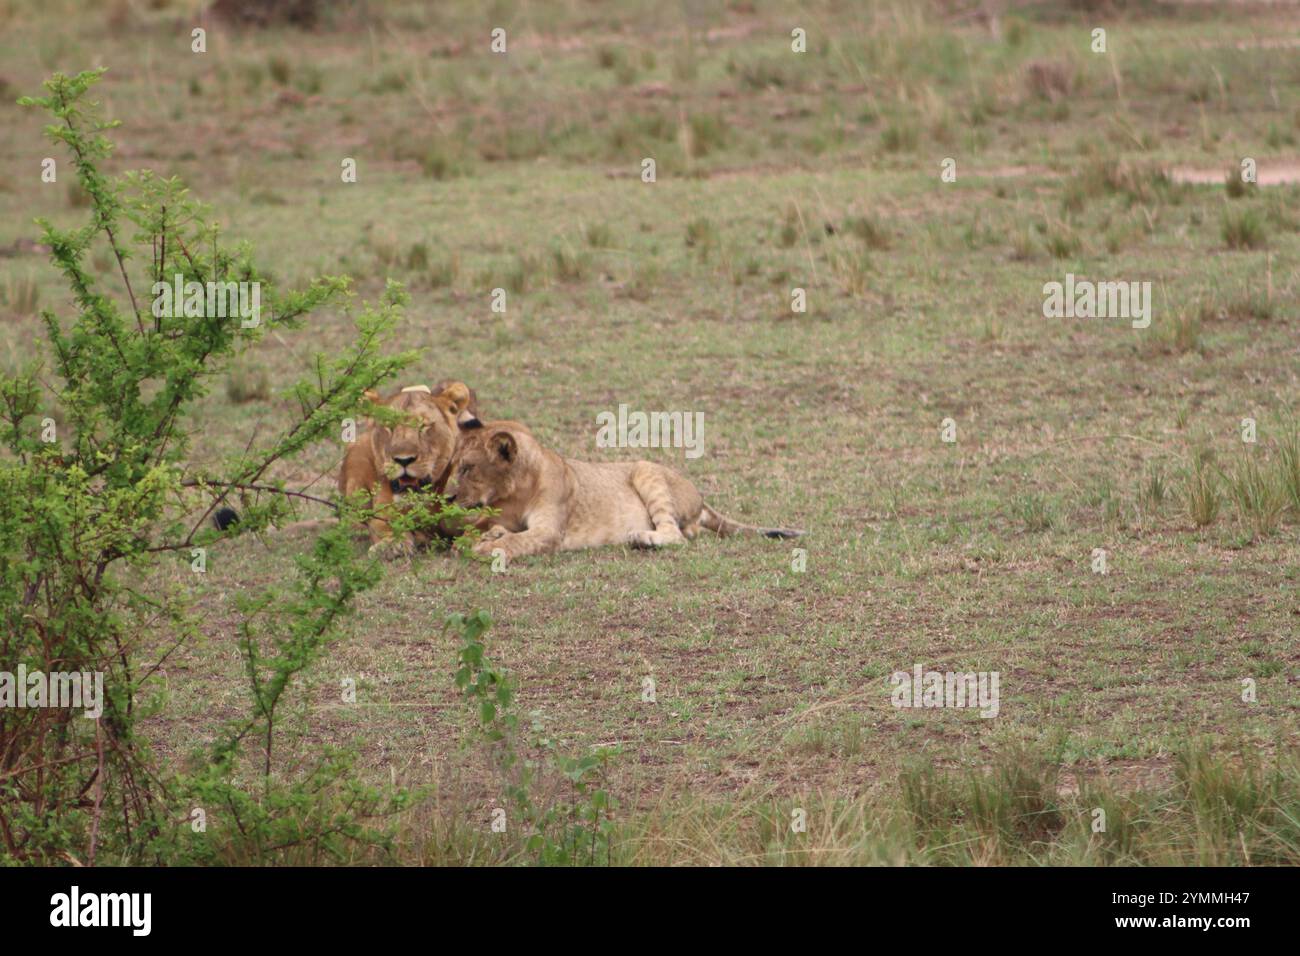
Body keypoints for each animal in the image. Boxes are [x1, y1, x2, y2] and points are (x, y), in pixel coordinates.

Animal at [446, 420, 803, 561]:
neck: (514, 491)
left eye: (467, 467)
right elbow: (492, 531)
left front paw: (485, 546)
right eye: (455, 465)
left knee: (676, 535)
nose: (448, 497)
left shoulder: (550, 531)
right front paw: (487, 536)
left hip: (646, 470)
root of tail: (701, 498)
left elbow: (515, 541)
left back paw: (642, 539)